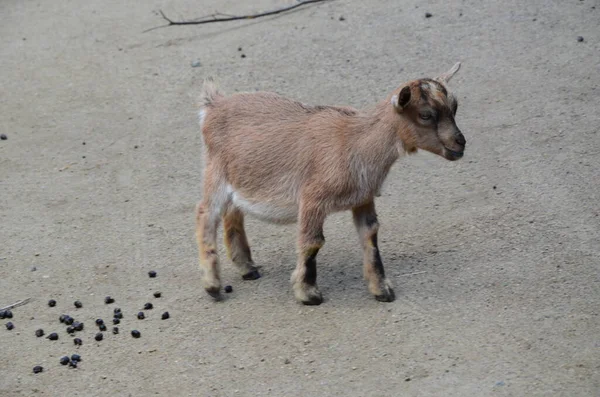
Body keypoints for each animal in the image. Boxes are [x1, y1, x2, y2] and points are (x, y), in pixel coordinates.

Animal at [196, 62, 464, 304]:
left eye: (455, 107)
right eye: (425, 115)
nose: (460, 143)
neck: (357, 141)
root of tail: (213, 105)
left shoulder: (363, 198)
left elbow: (370, 236)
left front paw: (382, 290)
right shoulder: (312, 199)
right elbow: (312, 242)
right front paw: (308, 293)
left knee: (232, 213)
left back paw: (247, 268)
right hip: (215, 172)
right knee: (206, 214)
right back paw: (213, 285)